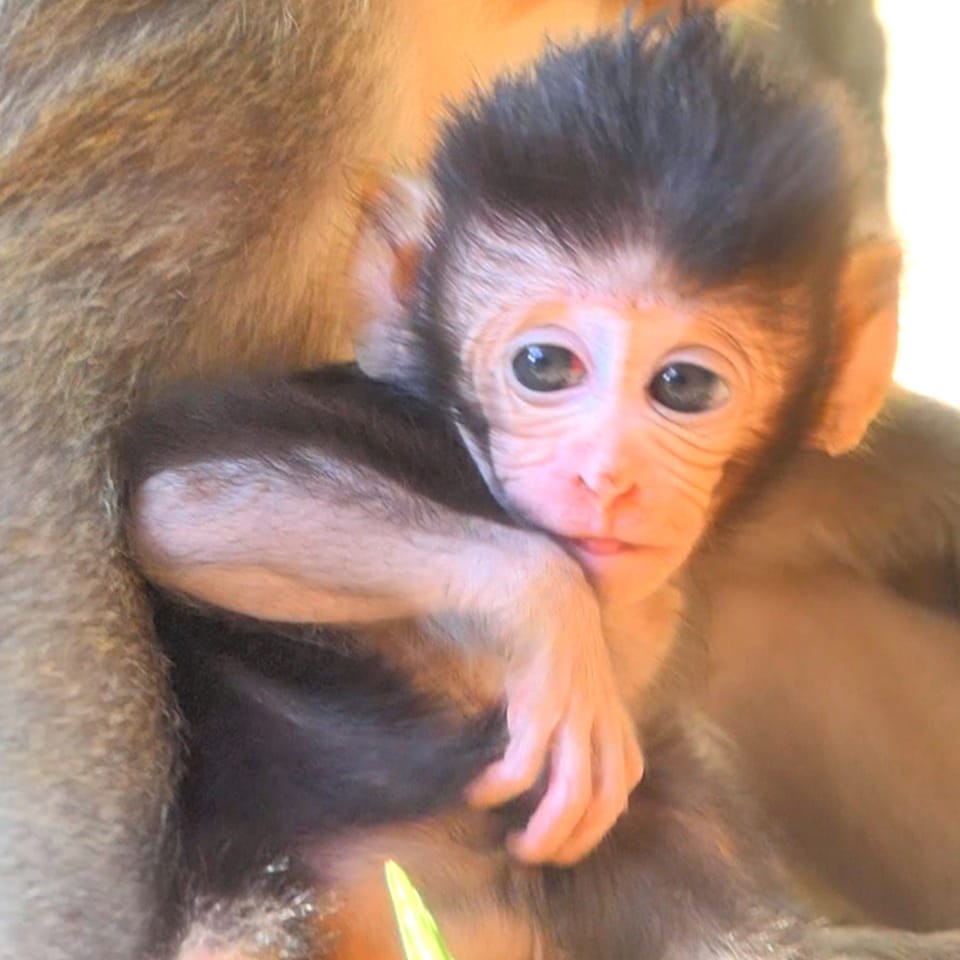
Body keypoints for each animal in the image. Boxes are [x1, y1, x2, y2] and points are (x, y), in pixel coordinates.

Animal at [120, 14, 960, 958]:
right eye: (544, 368)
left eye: (685, 386)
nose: (607, 473)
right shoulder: (422, 438)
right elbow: (183, 497)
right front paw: (543, 610)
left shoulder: (791, 496)